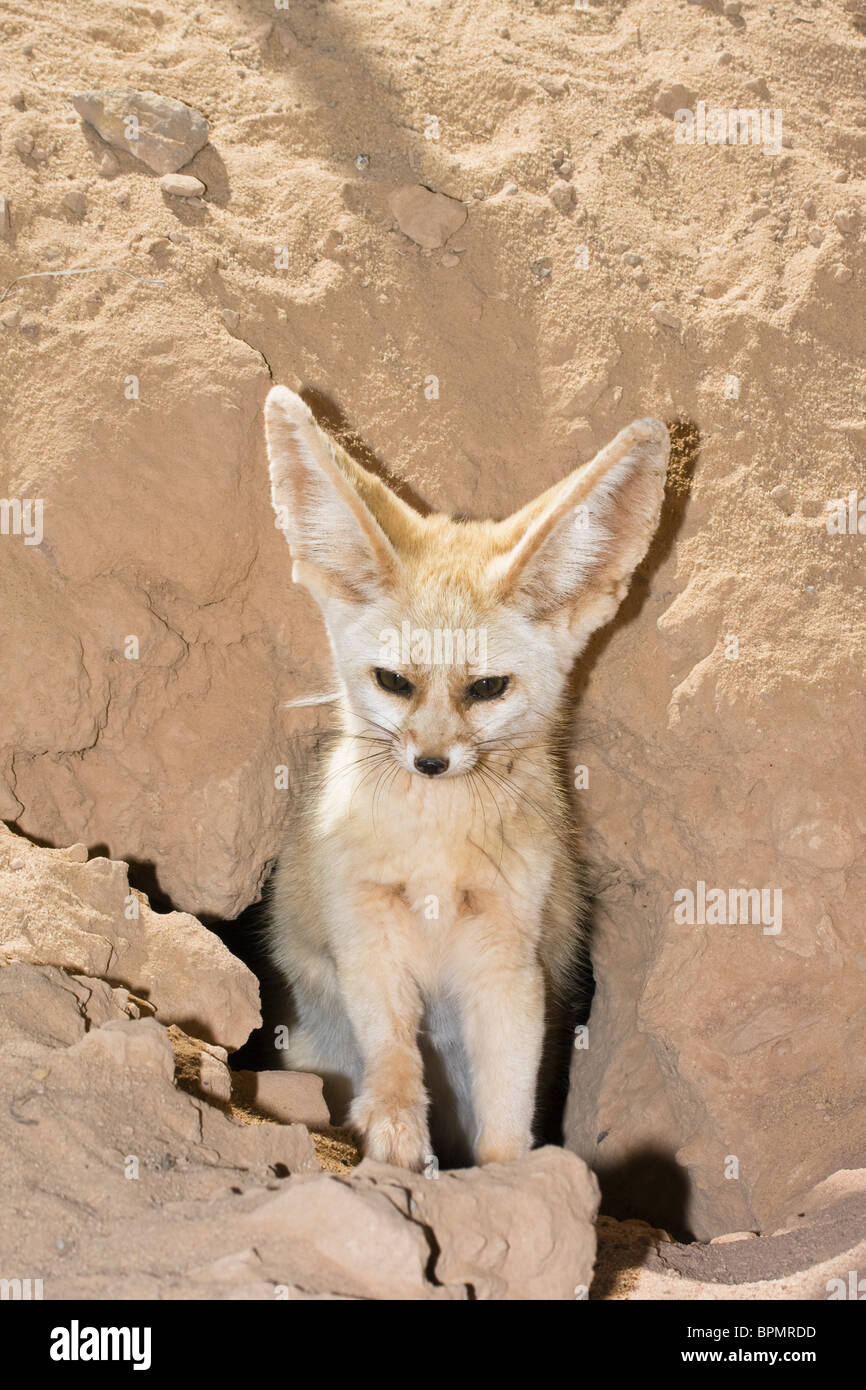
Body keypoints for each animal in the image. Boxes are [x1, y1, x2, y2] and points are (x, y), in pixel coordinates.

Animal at [263, 384, 669, 1171]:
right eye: (393, 681)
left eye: (485, 689)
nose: (430, 761)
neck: (434, 861)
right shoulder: (367, 931)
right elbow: (391, 1050)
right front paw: (394, 1127)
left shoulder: (508, 960)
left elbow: (508, 1107)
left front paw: (509, 1181)